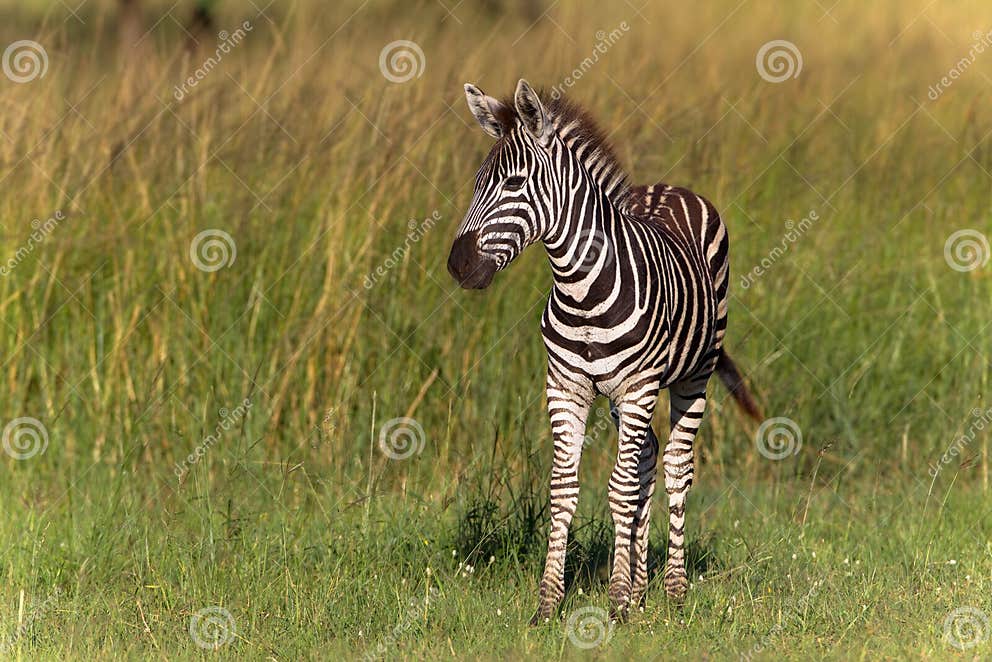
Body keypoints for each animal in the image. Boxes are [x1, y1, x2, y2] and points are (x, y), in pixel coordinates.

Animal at [447, 79, 761, 623]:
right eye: (477, 183)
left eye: (514, 184)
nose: (457, 265)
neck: (582, 289)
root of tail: (671, 186)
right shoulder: (565, 388)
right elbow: (565, 489)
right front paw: (552, 602)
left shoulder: (637, 388)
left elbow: (619, 488)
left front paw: (615, 604)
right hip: (623, 397)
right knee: (648, 460)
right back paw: (641, 587)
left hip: (691, 377)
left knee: (676, 467)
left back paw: (674, 591)